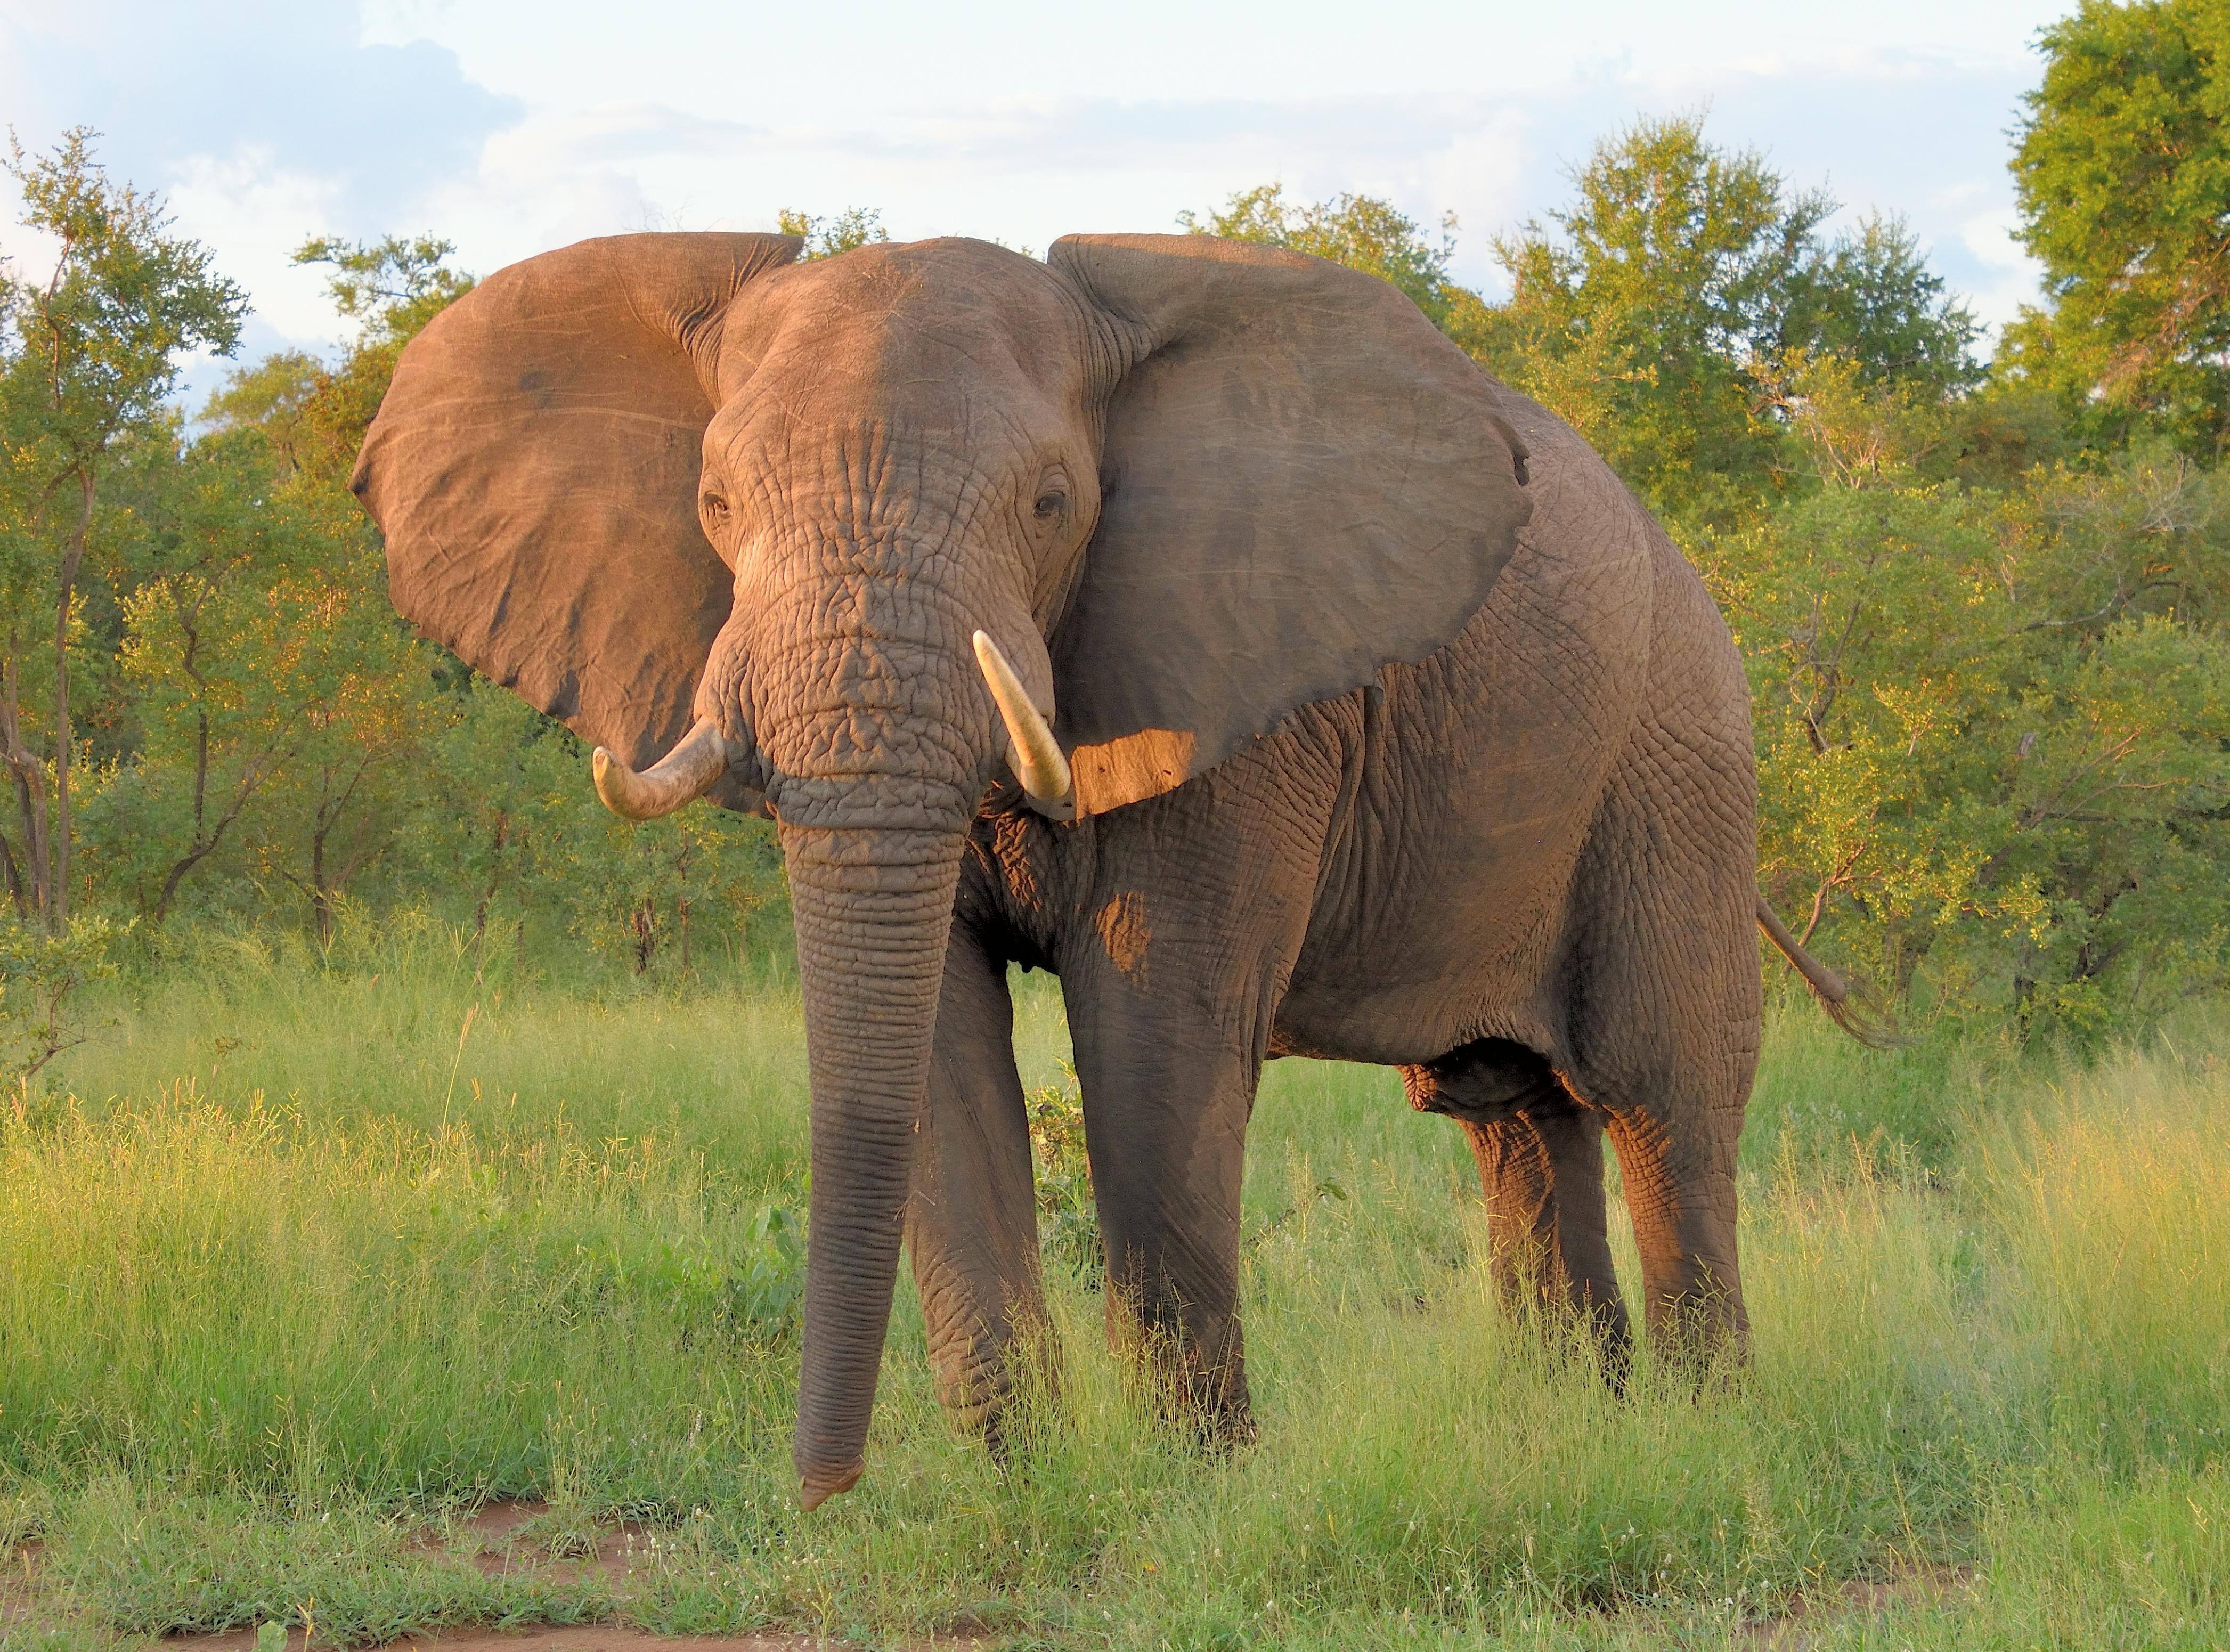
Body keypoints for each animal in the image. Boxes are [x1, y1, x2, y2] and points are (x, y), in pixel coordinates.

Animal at [354, 229, 1866, 1511]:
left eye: (1052, 502)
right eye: (716, 502)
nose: (822, 1488)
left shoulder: (1236, 694)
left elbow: (1155, 1039)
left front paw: (1196, 1487)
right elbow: (936, 1045)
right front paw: (1021, 1485)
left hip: (1677, 760)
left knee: (1661, 1095)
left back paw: (1698, 1437)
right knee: (1508, 1110)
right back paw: (1564, 1435)